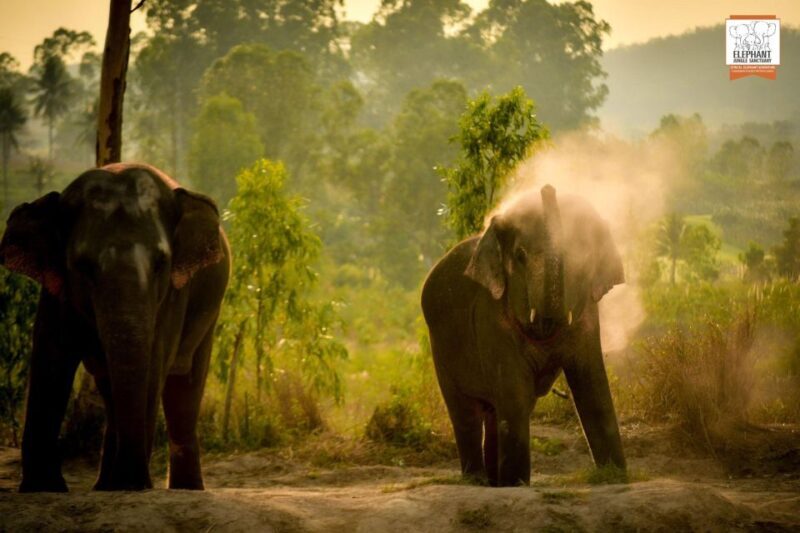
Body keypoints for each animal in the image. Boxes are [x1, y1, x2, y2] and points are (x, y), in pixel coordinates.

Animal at [0, 162, 230, 492]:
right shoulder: (56, 290)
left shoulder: (174, 294)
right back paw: (106, 485)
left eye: (161, 264)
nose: (134, 481)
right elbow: (51, 357)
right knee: (110, 388)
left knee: (184, 389)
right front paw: (42, 488)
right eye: (82, 266)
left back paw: (183, 489)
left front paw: (132, 484)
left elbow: (154, 362)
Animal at [421, 185, 625, 486]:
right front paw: (516, 484)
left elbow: (594, 389)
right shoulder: (491, 316)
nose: (547, 188)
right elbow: (515, 395)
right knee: (467, 413)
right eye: (520, 255)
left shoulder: (588, 315)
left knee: (496, 411)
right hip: (441, 349)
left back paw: (494, 483)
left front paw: (617, 477)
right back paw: (478, 481)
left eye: (581, 255)